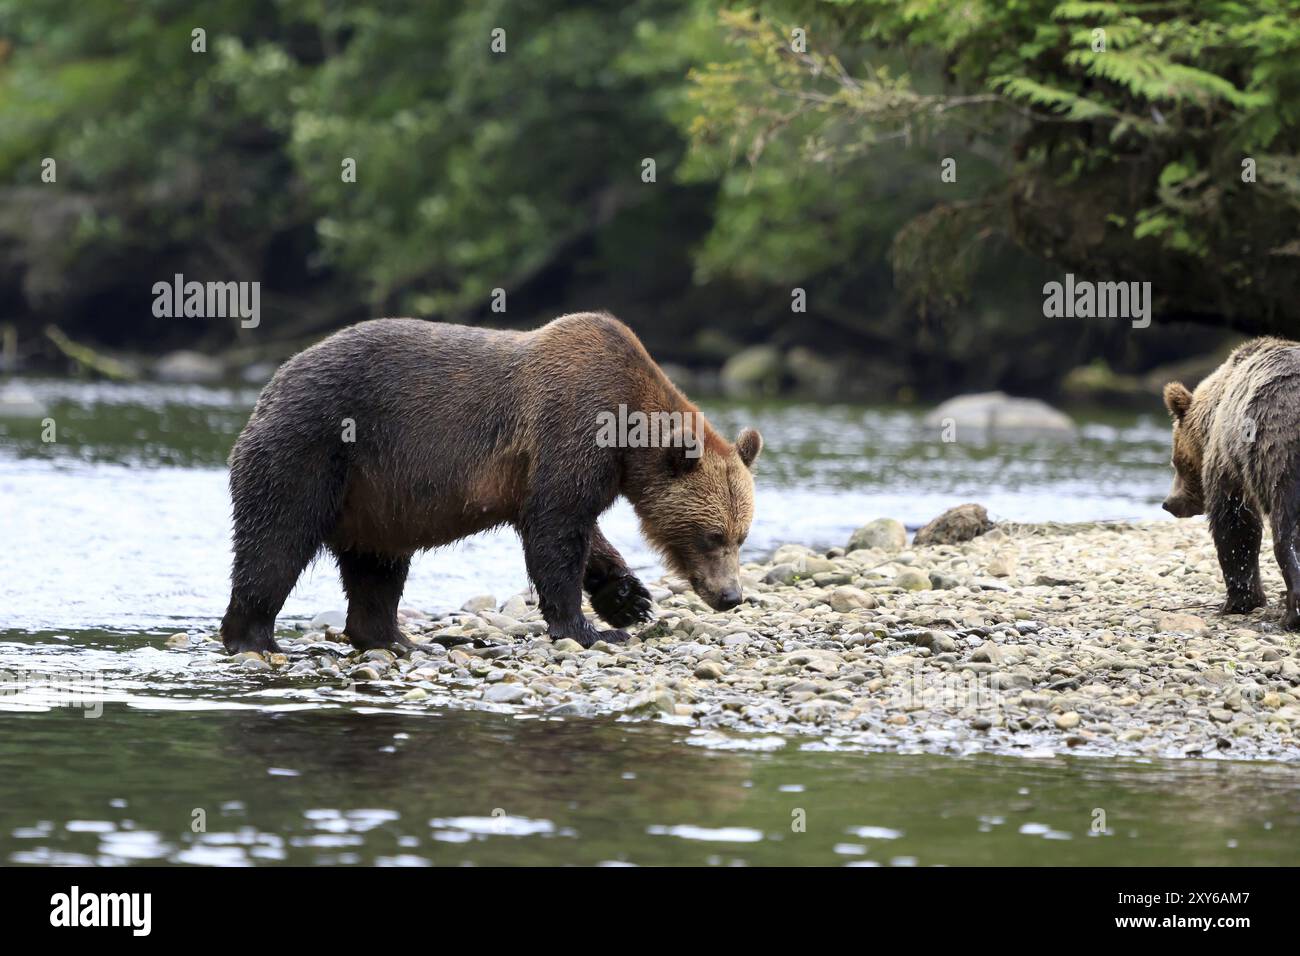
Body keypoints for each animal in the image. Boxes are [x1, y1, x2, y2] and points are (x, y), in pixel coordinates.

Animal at [220, 311, 763, 654]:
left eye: (742, 536)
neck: (627, 426)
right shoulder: (570, 425)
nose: (731, 596)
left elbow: (574, 527)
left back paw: (392, 638)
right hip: (313, 451)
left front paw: (629, 601)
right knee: (275, 544)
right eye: (712, 536)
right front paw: (588, 628)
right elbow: (555, 528)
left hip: (374, 497)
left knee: (377, 567)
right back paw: (254, 638)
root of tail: (270, 386)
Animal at [1162, 336, 1300, 629]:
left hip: (1285, 457)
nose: (1169, 503)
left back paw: (1292, 614)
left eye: (1175, 461)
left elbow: (1235, 523)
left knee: (1287, 532)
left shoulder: (1232, 458)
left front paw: (1240, 601)